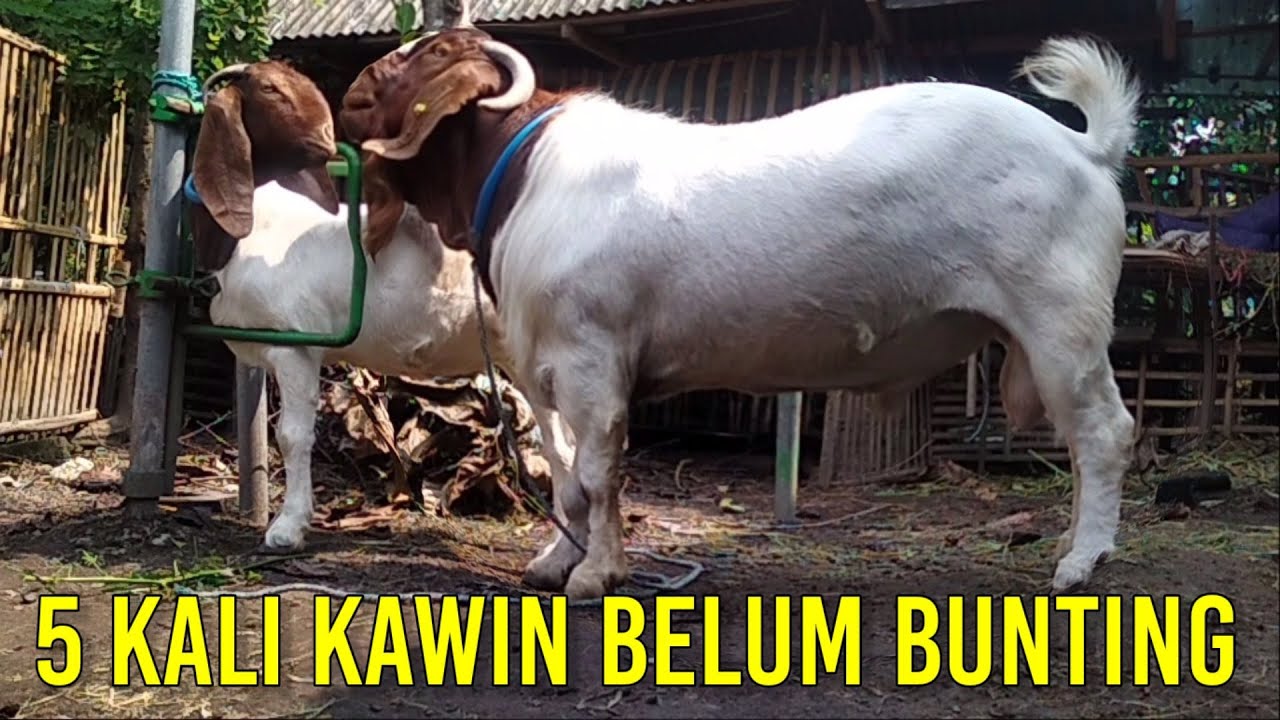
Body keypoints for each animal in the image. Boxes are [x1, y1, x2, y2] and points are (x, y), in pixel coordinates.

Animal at [186, 59, 576, 552]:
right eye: (271, 89)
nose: (329, 140)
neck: (257, 231)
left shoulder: (296, 348)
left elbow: (291, 436)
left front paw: (287, 527)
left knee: (565, 447)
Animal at [338, 19, 1142, 600]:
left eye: (430, 52)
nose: (349, 90)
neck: (523, 173)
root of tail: (1083, 146)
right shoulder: (542, 368)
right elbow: (565, 476)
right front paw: (553, 564)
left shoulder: (592, 355)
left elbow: (597, 474)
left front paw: (597, 576)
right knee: (1081, 438)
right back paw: (1073, 543)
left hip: (1060, 317)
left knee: (1103, 431)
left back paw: (1083, 562)